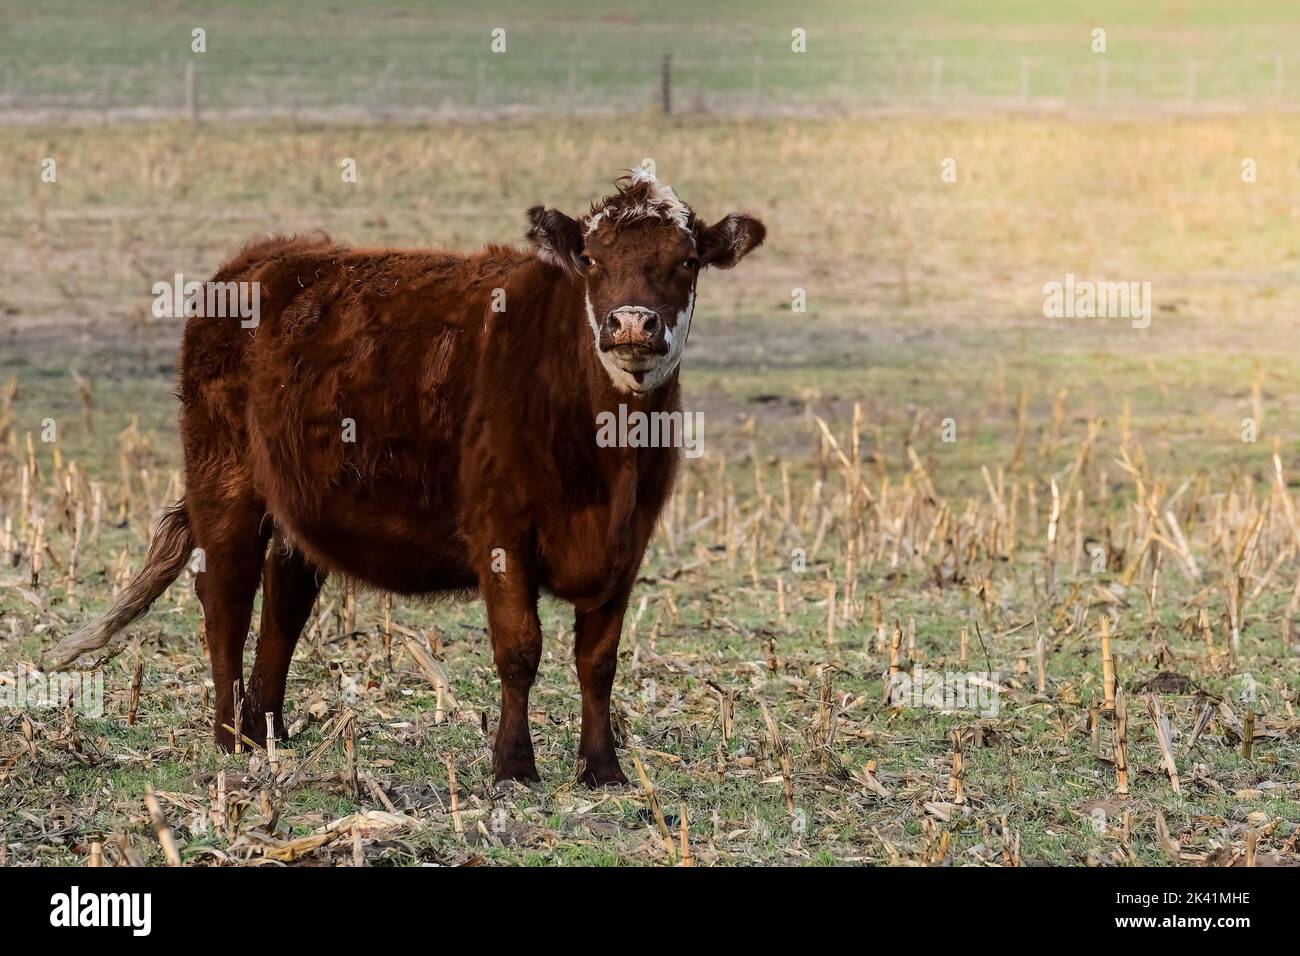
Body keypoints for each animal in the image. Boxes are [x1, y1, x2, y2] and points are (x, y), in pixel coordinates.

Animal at [50, 169, 765, 785]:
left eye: (686, 261)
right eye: (591, 259)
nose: (632, 323)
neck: (605, 456)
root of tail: (263, 256)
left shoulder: (629, 541)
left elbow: (599, 659)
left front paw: (603, 768)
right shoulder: (501, 530)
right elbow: (519, 649)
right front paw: (514, 766)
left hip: (294, 503)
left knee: (284, 603)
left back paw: (266, 731)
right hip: (223, 481)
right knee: (225, 597)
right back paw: (229, 736)